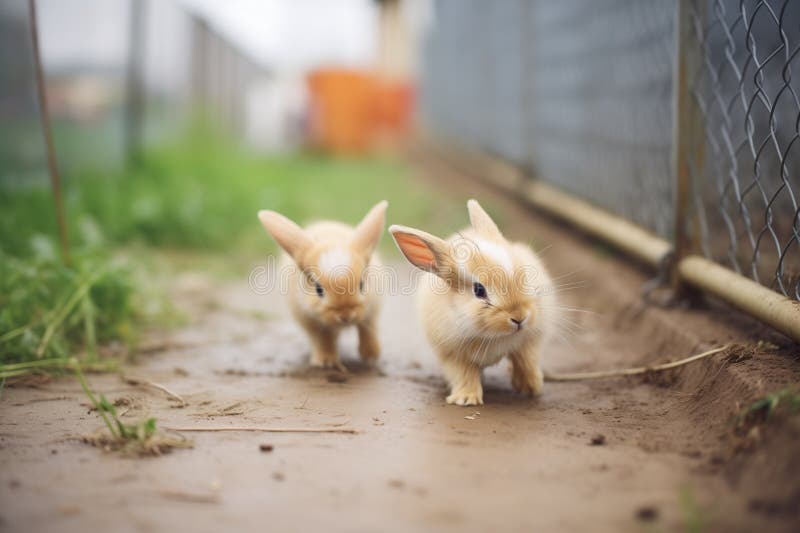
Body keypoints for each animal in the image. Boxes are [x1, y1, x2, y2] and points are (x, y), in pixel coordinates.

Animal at [258, 201, 387, 371]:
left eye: (361, 285)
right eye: (318, 290)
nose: (345, 316)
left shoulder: (372, 310)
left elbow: (367, 328)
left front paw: (371, 355)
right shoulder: (310, 323)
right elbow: (323, 339)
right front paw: (327, 362)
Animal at [389, 199, 554, 406]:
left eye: (524, 275)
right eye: (479, 290)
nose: (519, 318)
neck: (492, 335)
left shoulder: (529, 340)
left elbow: (526, 361)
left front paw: (532, 388)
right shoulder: (453, 354)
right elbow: (464, 374)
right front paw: (465, 399)